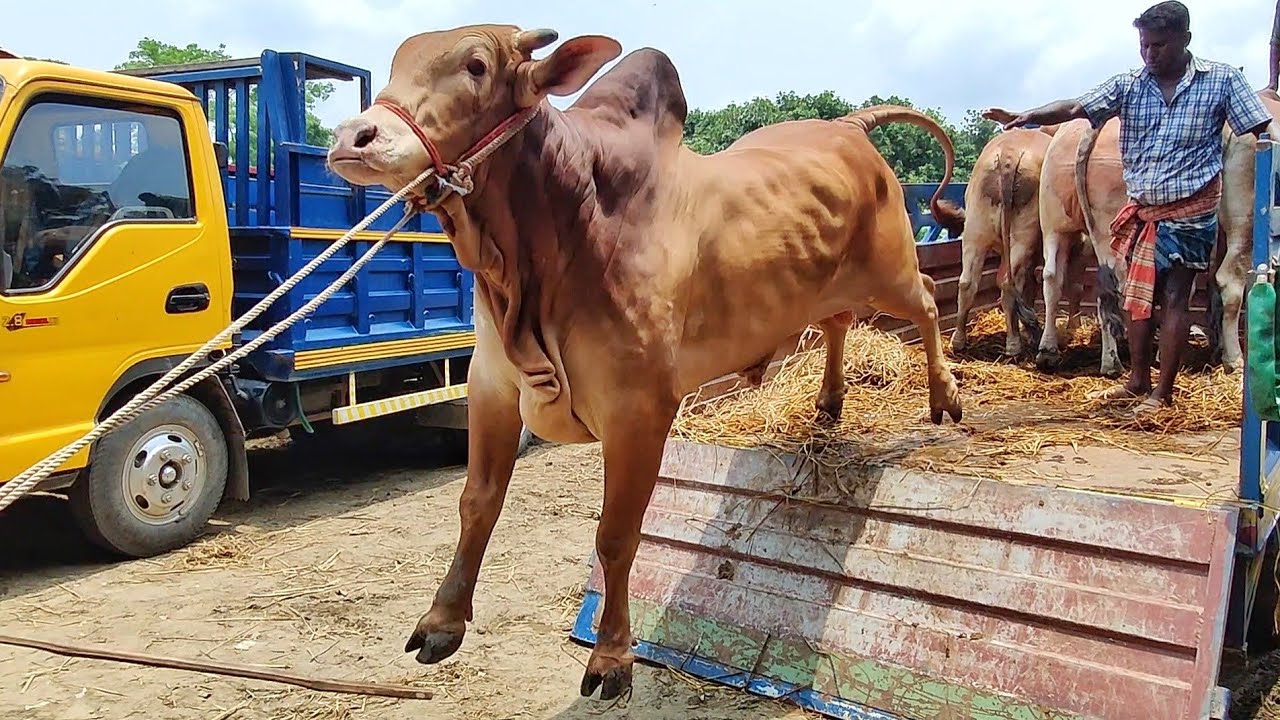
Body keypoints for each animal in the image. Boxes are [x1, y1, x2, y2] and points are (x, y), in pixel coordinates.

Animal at [324, 24, 967, 701]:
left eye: (476, 65)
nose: (353, 138)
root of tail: (848, 126)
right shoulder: (491, 387)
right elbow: (477, 502)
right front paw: (442, 621)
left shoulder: (638, 412)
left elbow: (616, 535)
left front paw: (611, 657)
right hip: (825, 285)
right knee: (841, 321)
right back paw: (829, 403)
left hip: (890, 268)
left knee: (928, 297)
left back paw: (943, 395)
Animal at [950, 126, 1086, 358]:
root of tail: (1008, 154)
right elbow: (1073, 286)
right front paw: (1072, 326)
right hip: (1022, 235)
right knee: (1007, 285)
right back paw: (1014, 344)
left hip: (975, 231)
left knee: (968, 282)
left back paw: (959, 341)